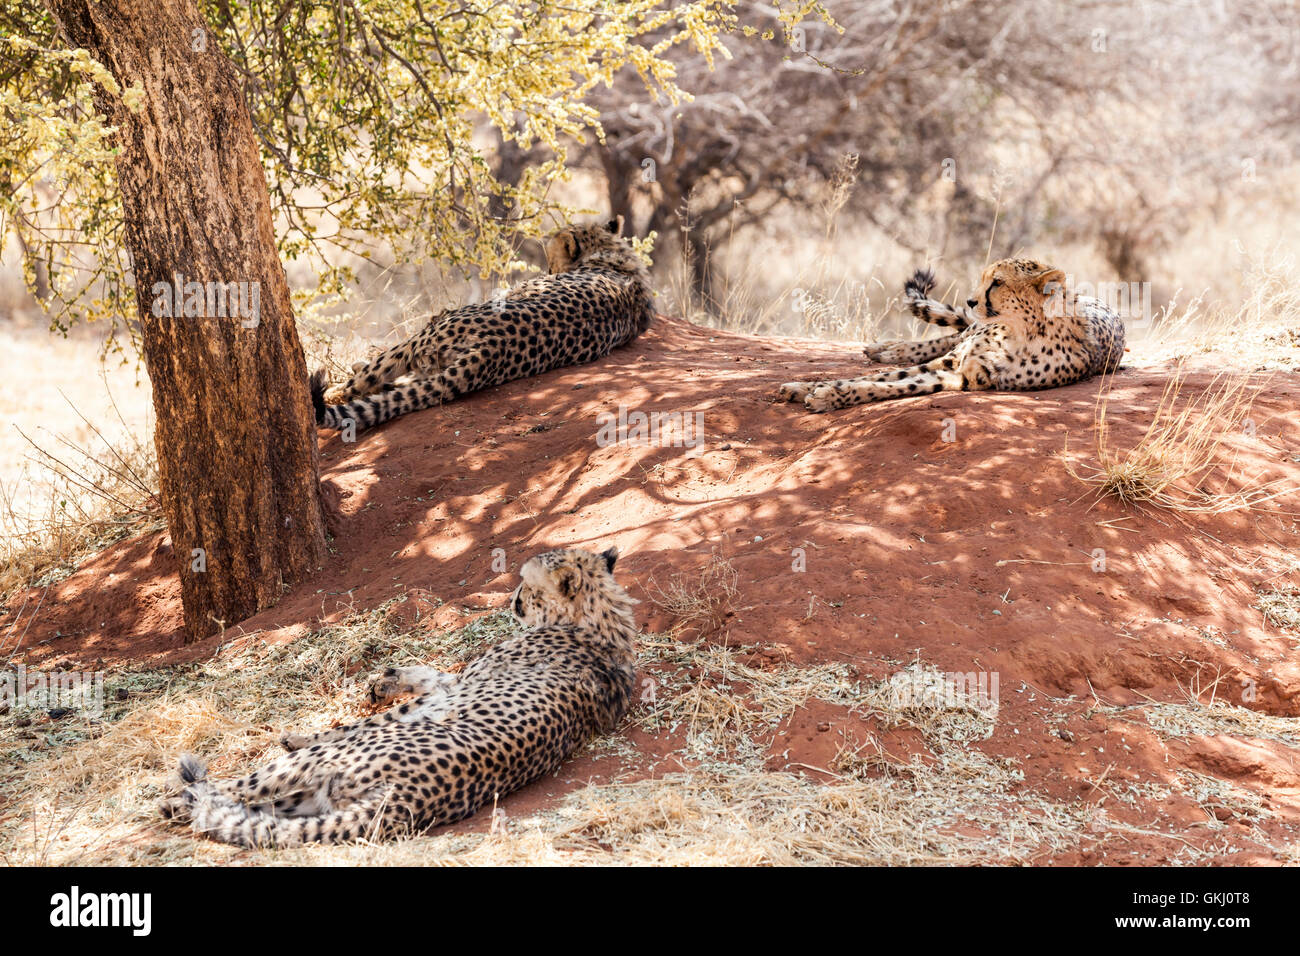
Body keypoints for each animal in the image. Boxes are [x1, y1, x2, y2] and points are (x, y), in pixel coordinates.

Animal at [158, 546, 638, 848]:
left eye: (528, 586)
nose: (513, 600)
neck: (597, 621)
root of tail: (405, 801)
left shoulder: (448, 696)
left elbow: (370, 719)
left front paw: (302, 733)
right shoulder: (452, 687)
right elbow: (430, 675)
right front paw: (385, 680)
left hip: (315, 770)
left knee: (237, 787)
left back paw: (173, 796)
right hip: (311, 799)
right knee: (250, 806)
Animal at [310, 217, 654, 433]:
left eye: (550, 259)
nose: (547, 268)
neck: (611, 256)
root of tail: (491, 348)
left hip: (422, 338)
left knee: (360, 384)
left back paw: (335, 387)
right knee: (401, 384)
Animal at [779, 258, 1126, 413]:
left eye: (997, 282)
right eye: (985, 278)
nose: (971, 301)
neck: (1018, 332)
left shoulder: (966, 379)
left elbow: (898, 385)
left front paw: (826, 395)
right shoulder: (955, 363)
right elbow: (879, 377)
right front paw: (809, 387)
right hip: (964, 339)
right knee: (949, 337)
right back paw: (888, 348)